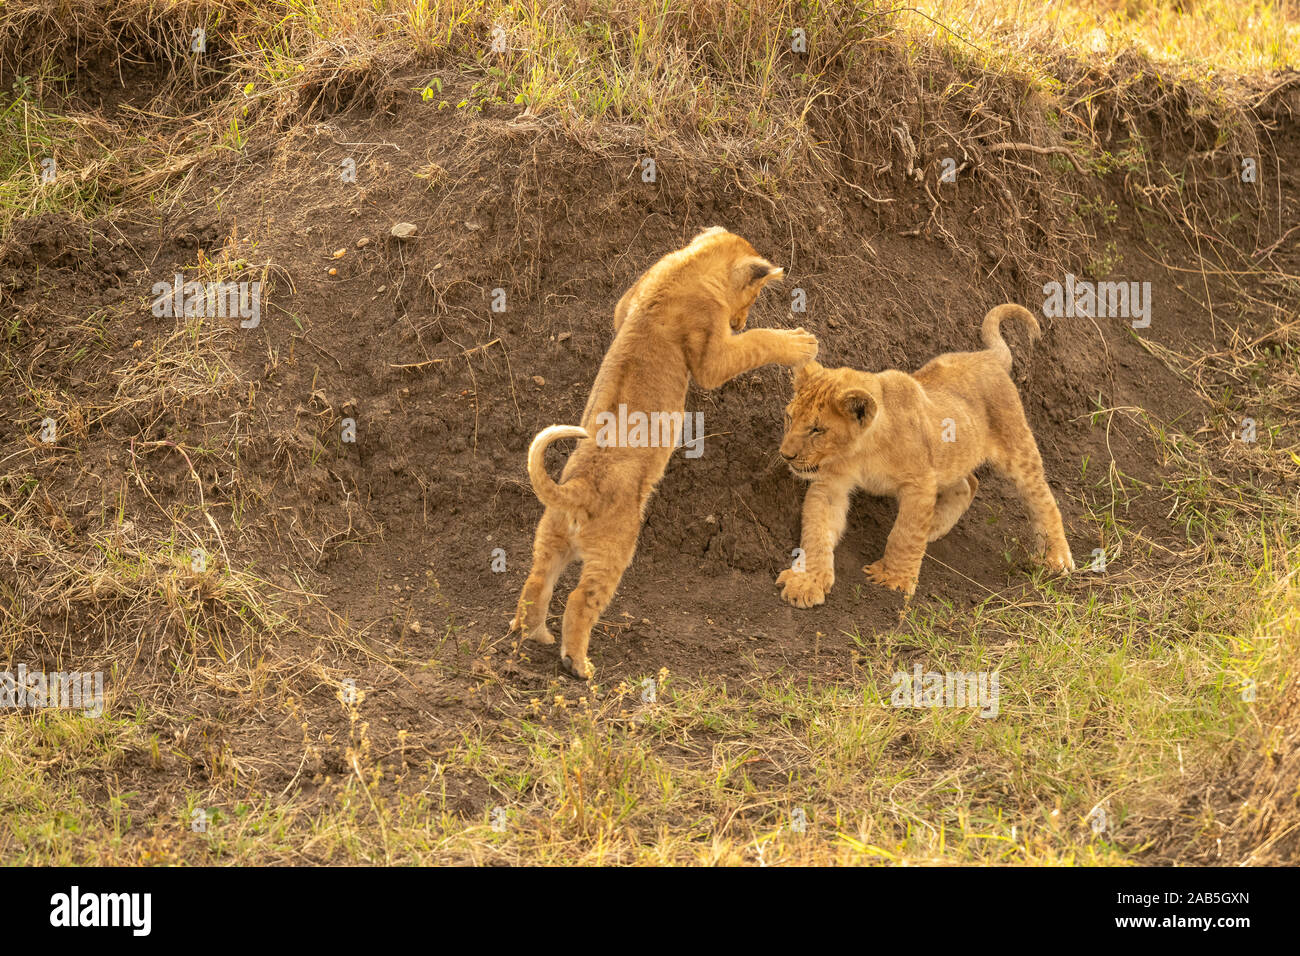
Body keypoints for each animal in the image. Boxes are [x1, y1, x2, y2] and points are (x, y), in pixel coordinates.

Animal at [512, 227, 819, 678]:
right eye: (753, 297)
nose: (739, 320)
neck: (687, 267)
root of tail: (576, 488)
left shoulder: (626, 302)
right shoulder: (710, 357)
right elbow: (755, 344)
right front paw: (799, 342)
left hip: (550, 538)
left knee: (536, 581)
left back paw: (534, 634)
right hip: (615, 547)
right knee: (580, 600)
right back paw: (578, 663)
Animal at [775, 303, 1073, 608]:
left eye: (817, 430)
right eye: (789, 418)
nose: (786, 455)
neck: (861, 451)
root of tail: (988, 356)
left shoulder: (919, 483)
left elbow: (904, 534)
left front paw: (893, 580)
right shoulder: (831, 484)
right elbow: (816, 531)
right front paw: (807, 581)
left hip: (1016, 446)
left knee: (1042, 498)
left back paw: (1057, 557)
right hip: (949, 456)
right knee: (969, 483)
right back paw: (933, 527)